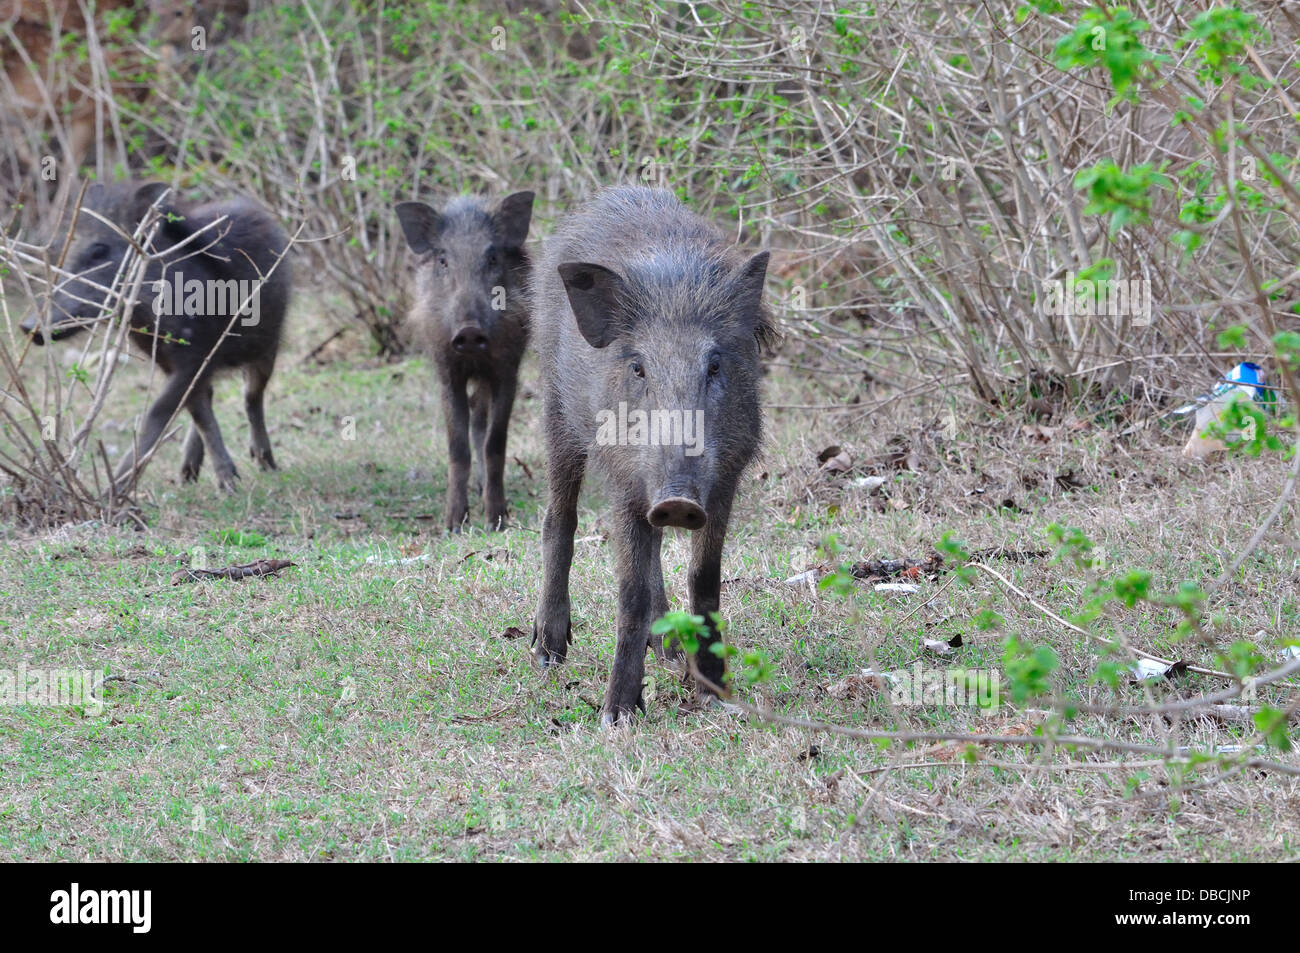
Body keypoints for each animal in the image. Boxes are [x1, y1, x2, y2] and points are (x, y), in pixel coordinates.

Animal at [20, 181, 291, 492]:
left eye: (99, 250)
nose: (28, 327)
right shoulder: (171, 362)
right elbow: (197, 413)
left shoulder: (194, 359)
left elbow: (159, 413)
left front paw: (113, 491)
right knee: (209, 398)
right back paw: (188, 474)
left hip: (267, 347)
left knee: (251, 397)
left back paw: (265, 463)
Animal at [394, 191, 534, 532]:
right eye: (443, 260)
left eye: (492, 258)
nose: (469, 332)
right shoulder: (449, 375)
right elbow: (457, 448)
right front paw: (454, 525)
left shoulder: (505, 373)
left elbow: (495, 443)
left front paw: (496, 521)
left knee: (480, 422)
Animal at [530, 186, 774, 726]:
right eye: (639, 367)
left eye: (715, 364)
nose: (677, 502)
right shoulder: (625, 484)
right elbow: (630, 591)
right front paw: (616, 716)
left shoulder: (725, 480)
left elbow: (704, 578)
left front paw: (715, 695)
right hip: (556, 412)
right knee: (559, 517)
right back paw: (546, 653)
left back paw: (669, 652)